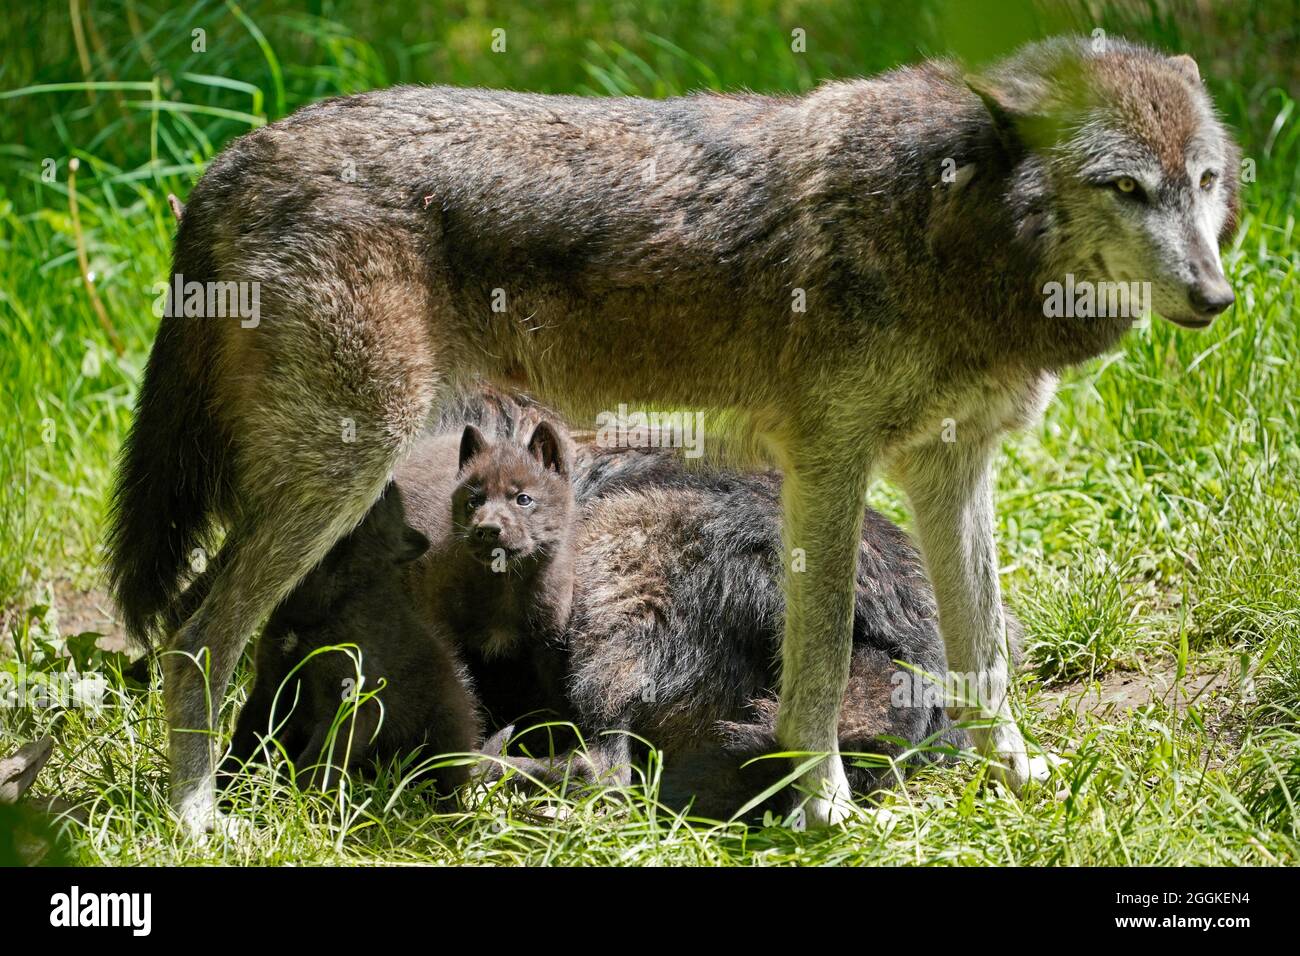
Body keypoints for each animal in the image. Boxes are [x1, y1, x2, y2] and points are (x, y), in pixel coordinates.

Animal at [106, 36, 1239, 832]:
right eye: (1125, 187)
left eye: (1203, 181)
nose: (1215, 295)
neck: (953, 223)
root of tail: (228, 161)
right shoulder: (827, 464)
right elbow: (816, 662)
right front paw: (821, 804)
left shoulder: (949, 469)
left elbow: (984, 652)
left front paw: (1014, 771)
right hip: (339, 470)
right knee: (194, 635)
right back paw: (199, 818)